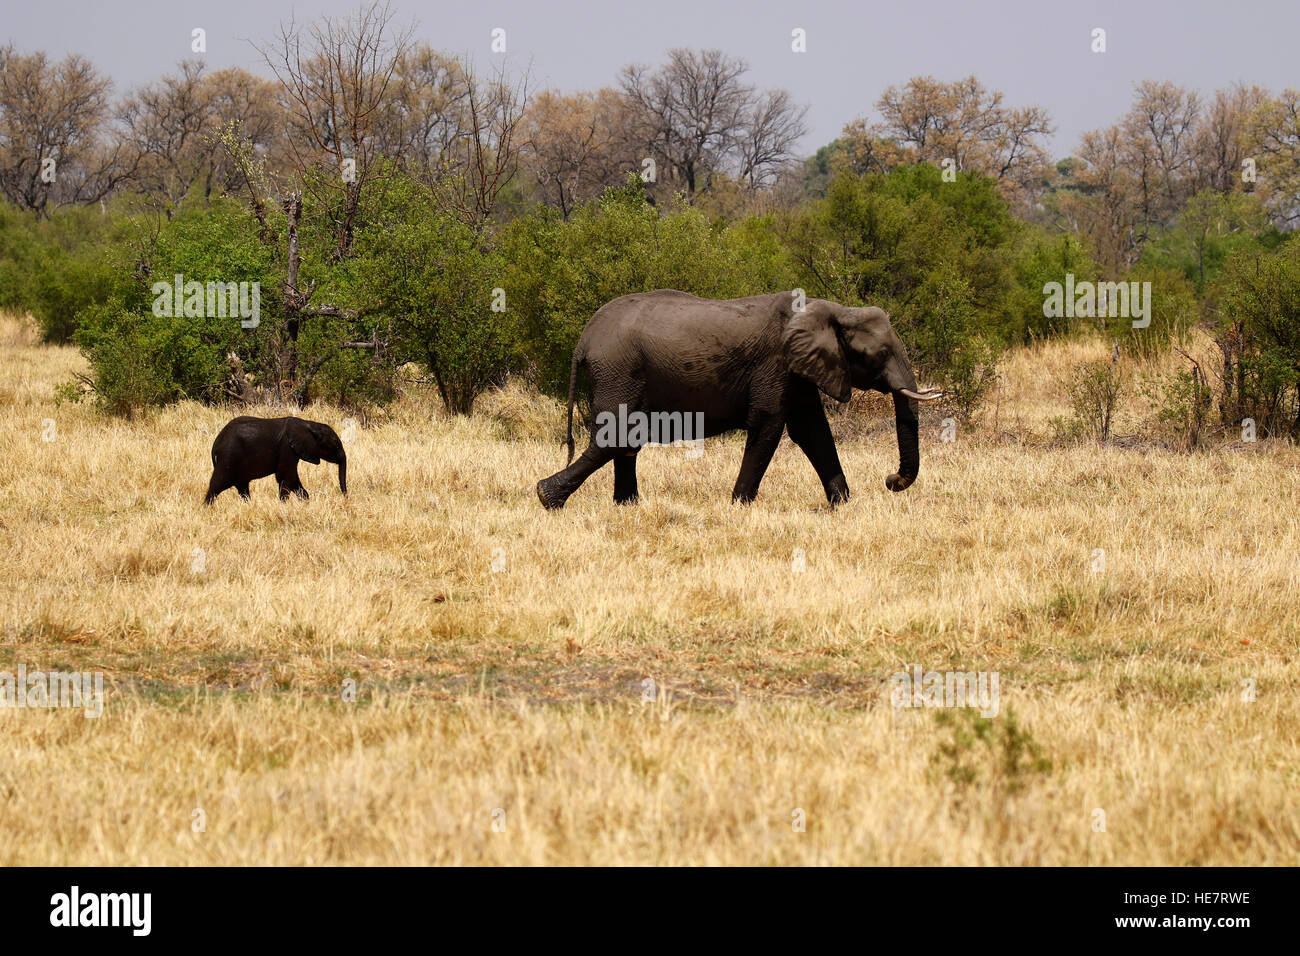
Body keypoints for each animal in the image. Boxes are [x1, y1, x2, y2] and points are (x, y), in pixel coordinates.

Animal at [204, 416, 347, 504]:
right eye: (336, 446)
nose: (346, 498)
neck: (310, 425)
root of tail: (215, 443)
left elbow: (293, 479)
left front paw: (306, 503)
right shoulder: (286, 448)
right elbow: (286, 477)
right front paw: (283, 505)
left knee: (242, 487)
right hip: (228, 458)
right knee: (217, 485)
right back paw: (206, 508)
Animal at [535, 290, 941, 509]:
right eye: (879, 354)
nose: (890, 480)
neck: (831, 309)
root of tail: (584, 339)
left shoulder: (797, 370)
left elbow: (812, 430)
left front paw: (841, 505)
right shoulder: (775, 365)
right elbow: (769, 424)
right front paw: (739, 505)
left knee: (627, 439)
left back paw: (626, 507)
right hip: (619, 369)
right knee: (617, 436)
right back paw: (547, 498)